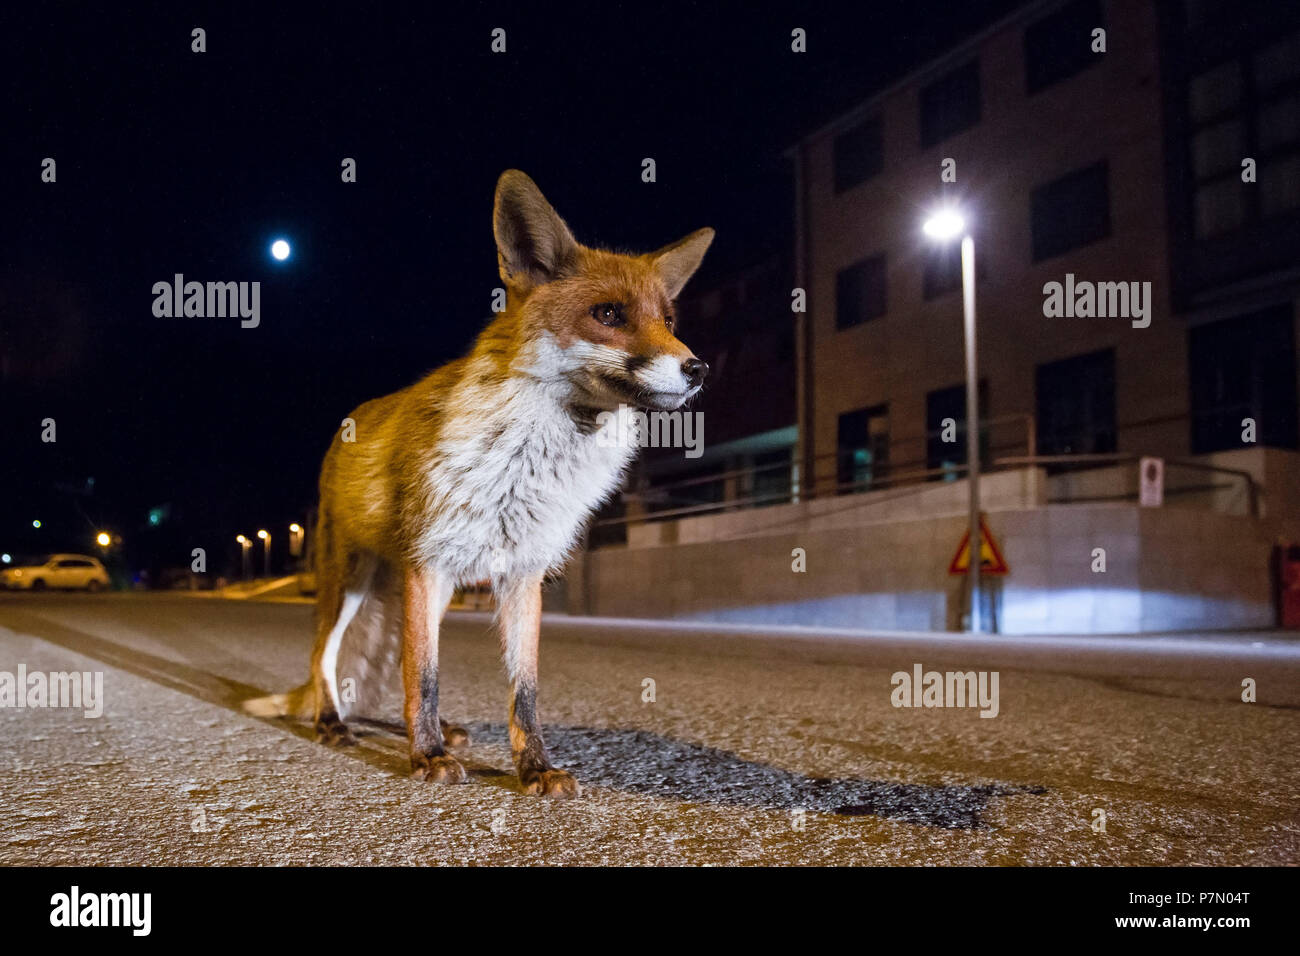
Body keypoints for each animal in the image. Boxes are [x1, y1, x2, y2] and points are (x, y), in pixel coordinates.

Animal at [243, 169, 713, 797]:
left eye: (668, 321)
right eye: (609, 314)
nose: (697, 368)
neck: (525, 463)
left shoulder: (522, 575)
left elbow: (523, 690)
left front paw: (533, 766)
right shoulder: (429, 562)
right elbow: (423, 673)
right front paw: (426, 757)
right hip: (351, 581)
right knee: (326, 658)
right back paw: (333, 723)